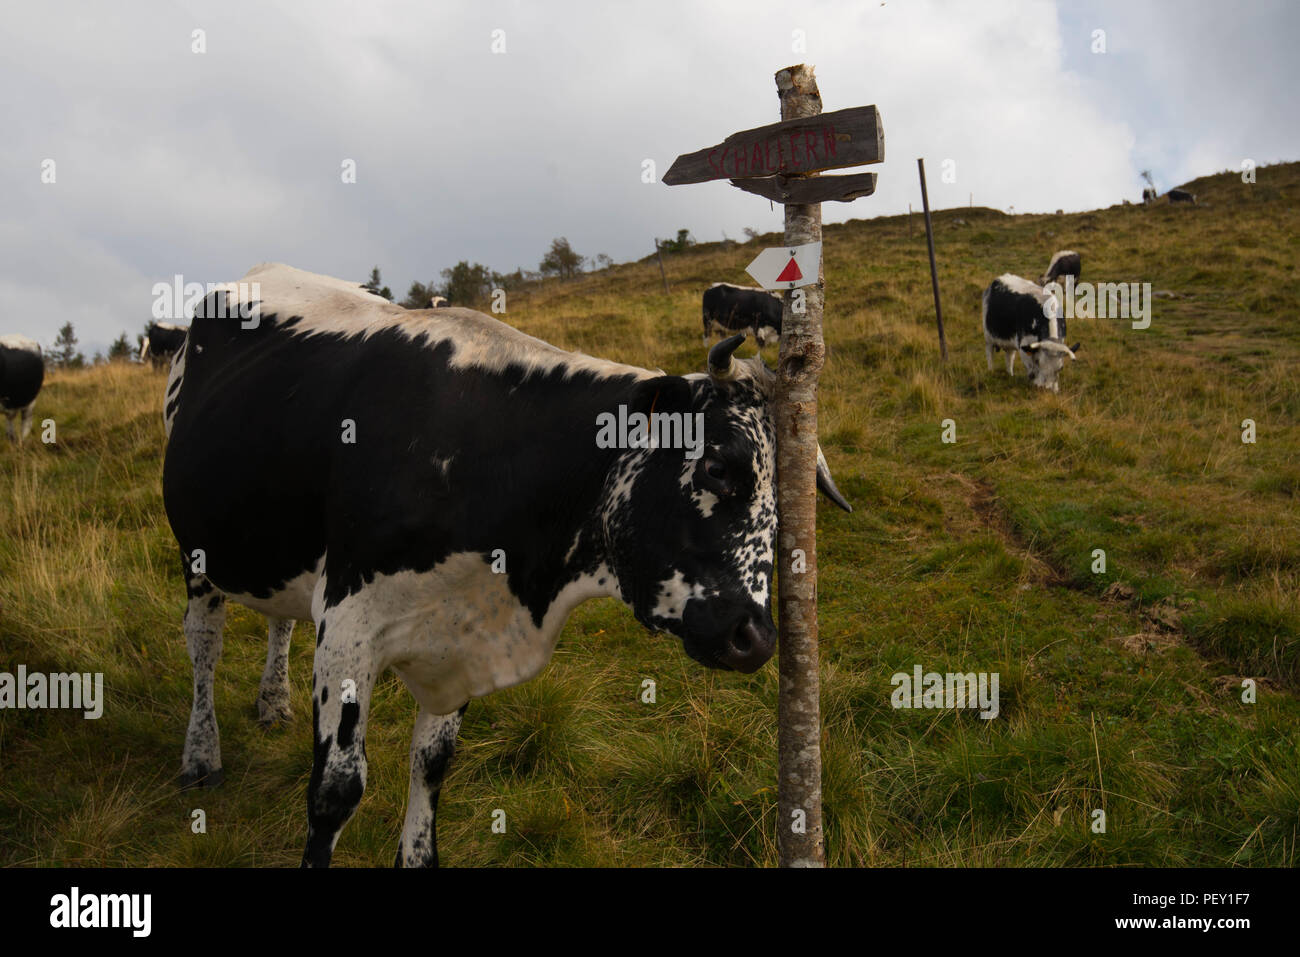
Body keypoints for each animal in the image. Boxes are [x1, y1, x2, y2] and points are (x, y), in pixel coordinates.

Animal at [161, 263, 852, 868]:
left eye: (788, 496)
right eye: (716, 466)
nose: (754, 637)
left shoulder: (459, 636)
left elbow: (431, 766)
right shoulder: (348, 628)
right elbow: (335, 792)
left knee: (279, 619)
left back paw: (272, 702)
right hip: (198, 549)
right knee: (203, 641)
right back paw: (200, 754)